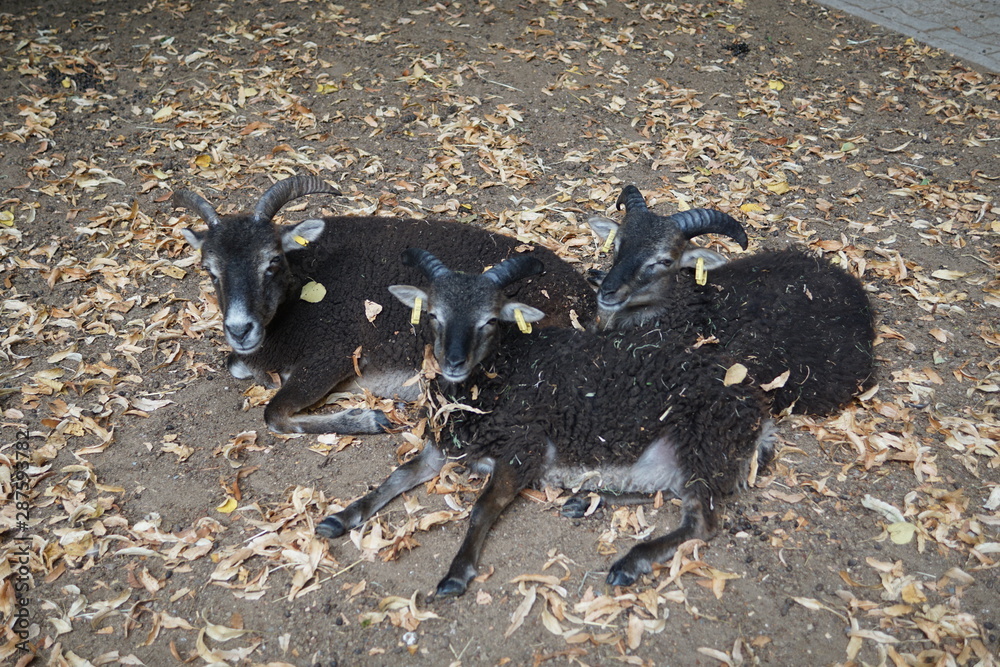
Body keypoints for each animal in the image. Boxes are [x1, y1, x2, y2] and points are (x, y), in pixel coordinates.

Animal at [173, 174, 595, 434]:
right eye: (209, 269)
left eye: (273, 261)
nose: (240, 329)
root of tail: (585, 300)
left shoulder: (333, 353)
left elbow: (274, 413)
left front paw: (369, 418)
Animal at [317, 249, 773, 596]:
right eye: (432, 314)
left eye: (490, 319)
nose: (454, 362)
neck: (498, 383)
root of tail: (758, 410)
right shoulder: (442, 447)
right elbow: (395, 476)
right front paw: (340, 518)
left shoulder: (525, 449)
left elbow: (481, 509)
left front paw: (456, 575)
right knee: (669, 493)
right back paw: (583, 502)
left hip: (702, 443)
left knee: (701, 518)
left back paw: (629, 562)